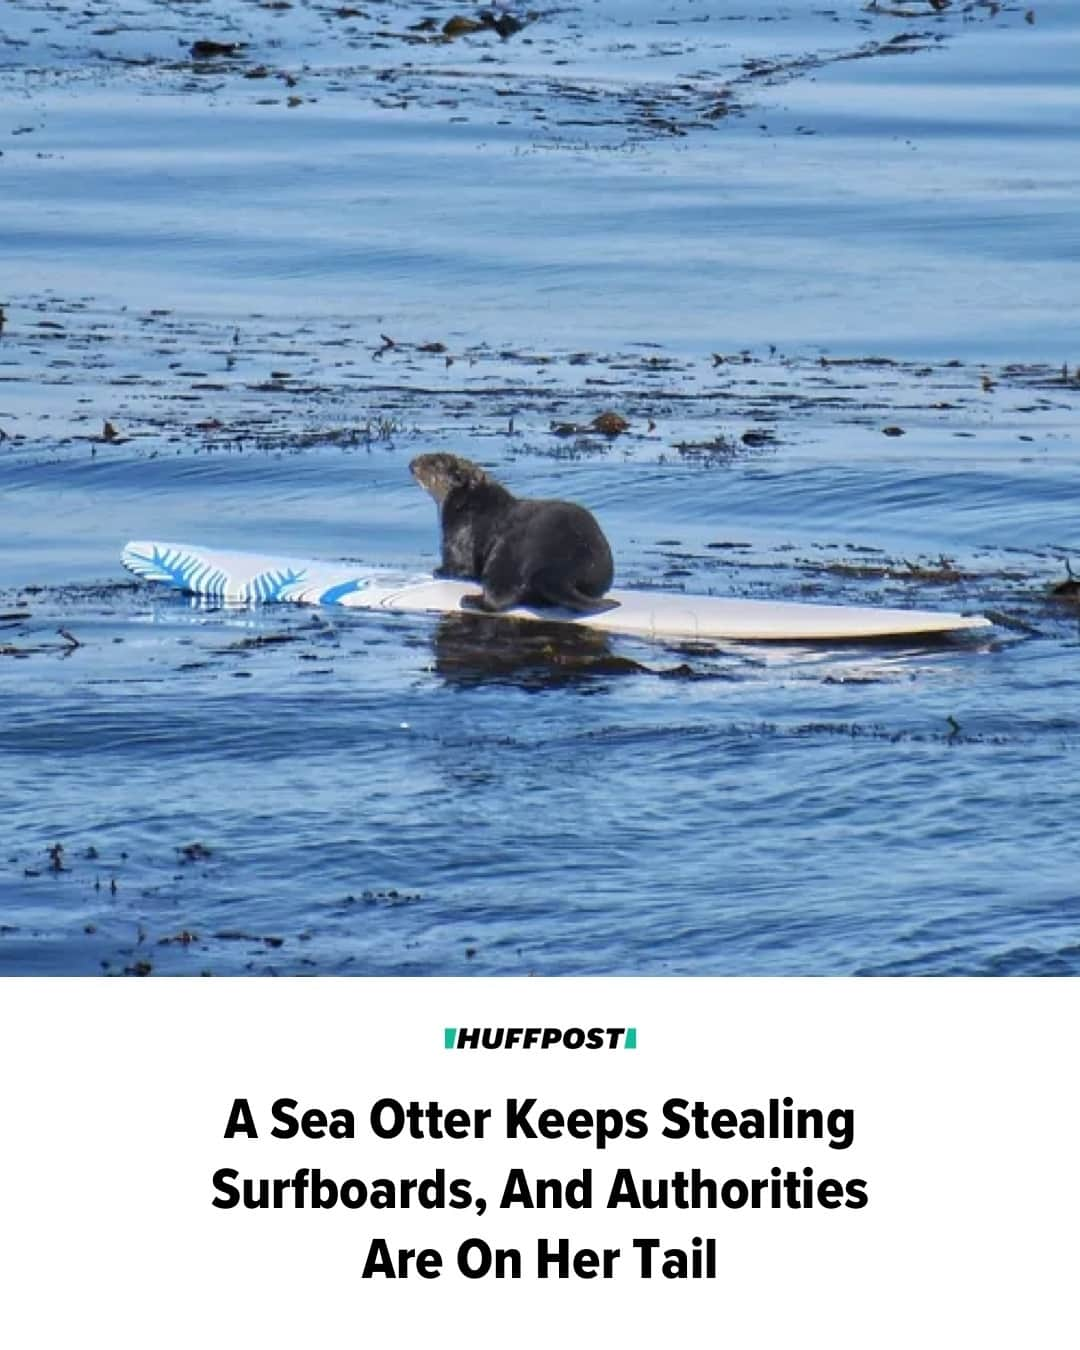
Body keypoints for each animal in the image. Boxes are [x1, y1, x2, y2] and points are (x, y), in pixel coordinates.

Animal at [410, 459, 615, 618]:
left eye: (435, 462)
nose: (412, 464)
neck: (474, 503)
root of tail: (560, 570)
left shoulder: (458, 533)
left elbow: (460, 564)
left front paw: (440, 571)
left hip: (508, 552)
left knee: (498, 597)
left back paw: (471, 599)